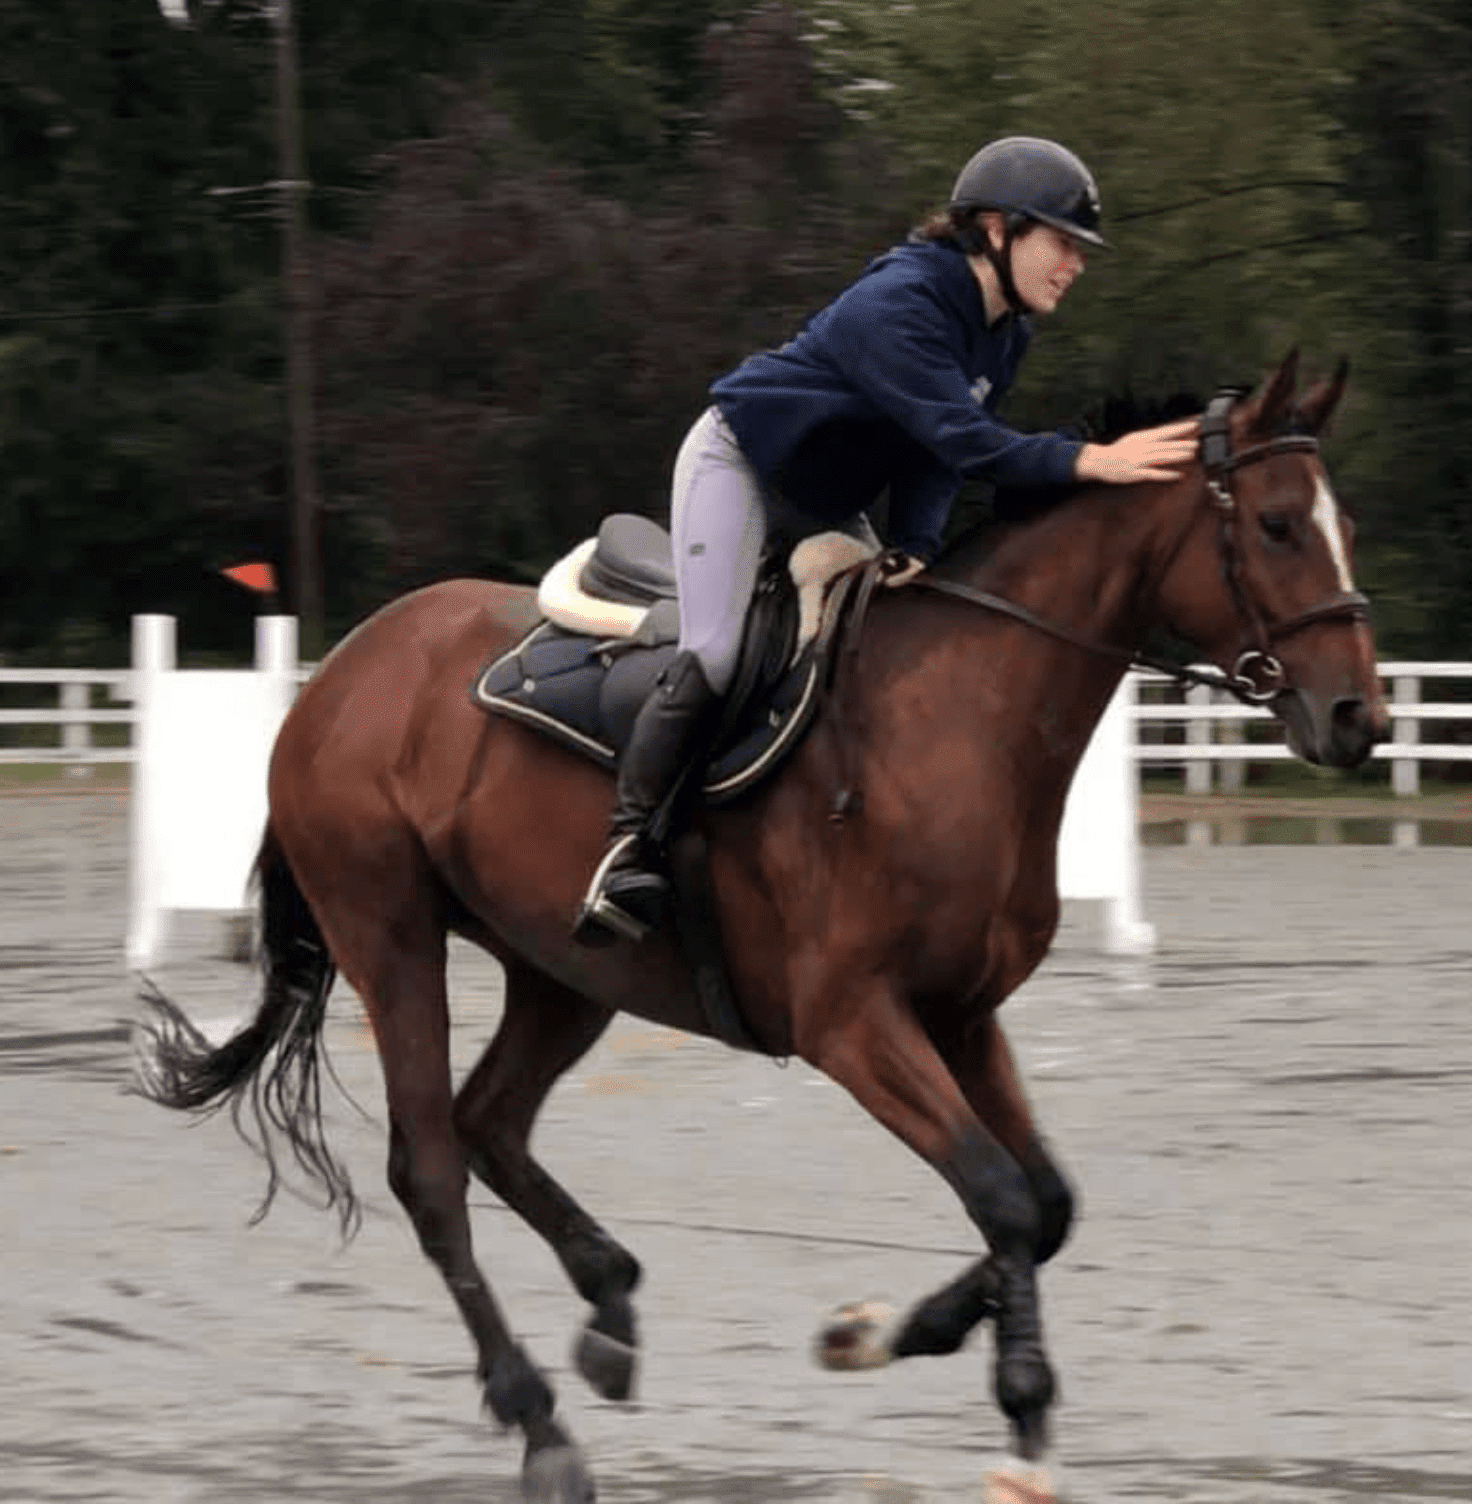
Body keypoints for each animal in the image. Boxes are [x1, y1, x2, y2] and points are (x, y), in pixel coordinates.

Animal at [136, 350, 1387, 1503]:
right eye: (1276, 525)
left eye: (1342, 525)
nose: (1356, 717)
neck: (957, 720)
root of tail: (342, 670)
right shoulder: (851, 1023)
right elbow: (997, 1195)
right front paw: (1013, 1411)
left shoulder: (961, 1014)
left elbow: (1042, 1205)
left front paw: (887, 1334)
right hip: (388, 932)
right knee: (431, 1168)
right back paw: (539, 1422)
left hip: (563, 968)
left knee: (488, 1120)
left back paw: (608, 1304)